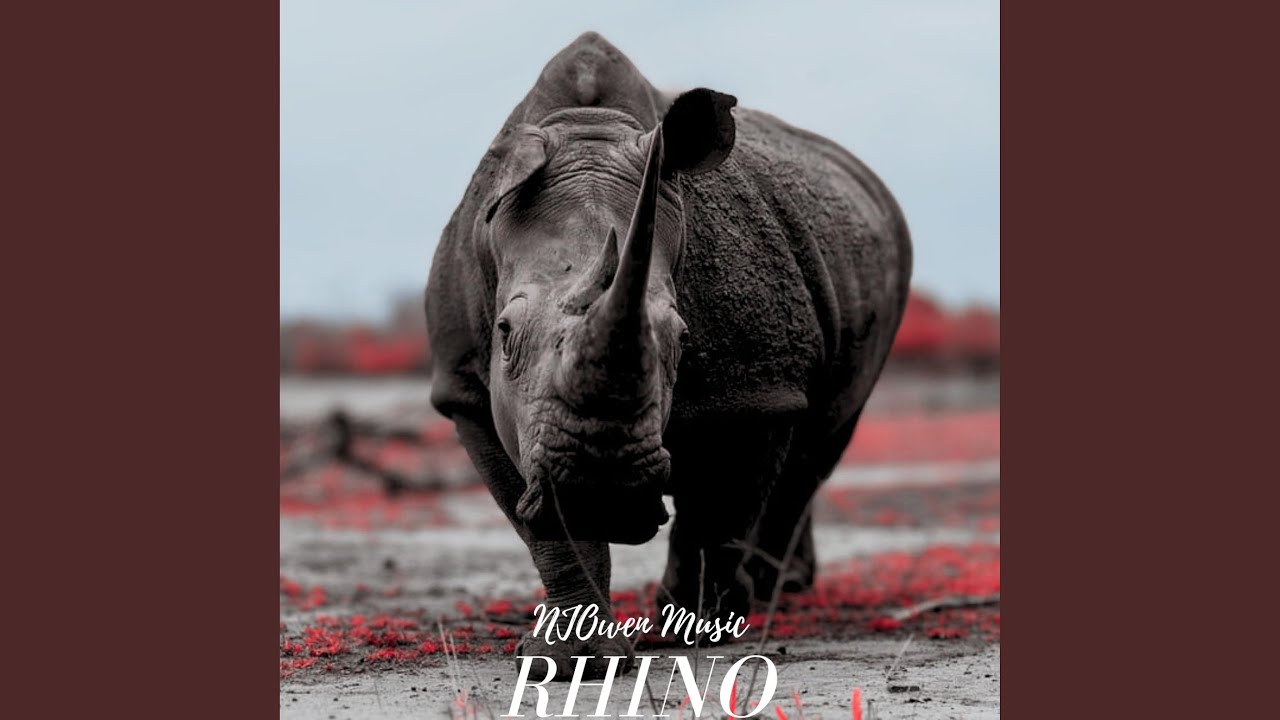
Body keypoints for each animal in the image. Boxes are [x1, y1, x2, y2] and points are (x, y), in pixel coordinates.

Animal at [426, 32, 911, 678]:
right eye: (504, 333)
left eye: (682, 338)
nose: (601, 489)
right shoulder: (467, 391)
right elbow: (547, 530)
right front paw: (576, 658)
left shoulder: (757, 388)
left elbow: (718, 510)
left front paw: (695, 629)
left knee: (818, 445)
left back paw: (773, 593)